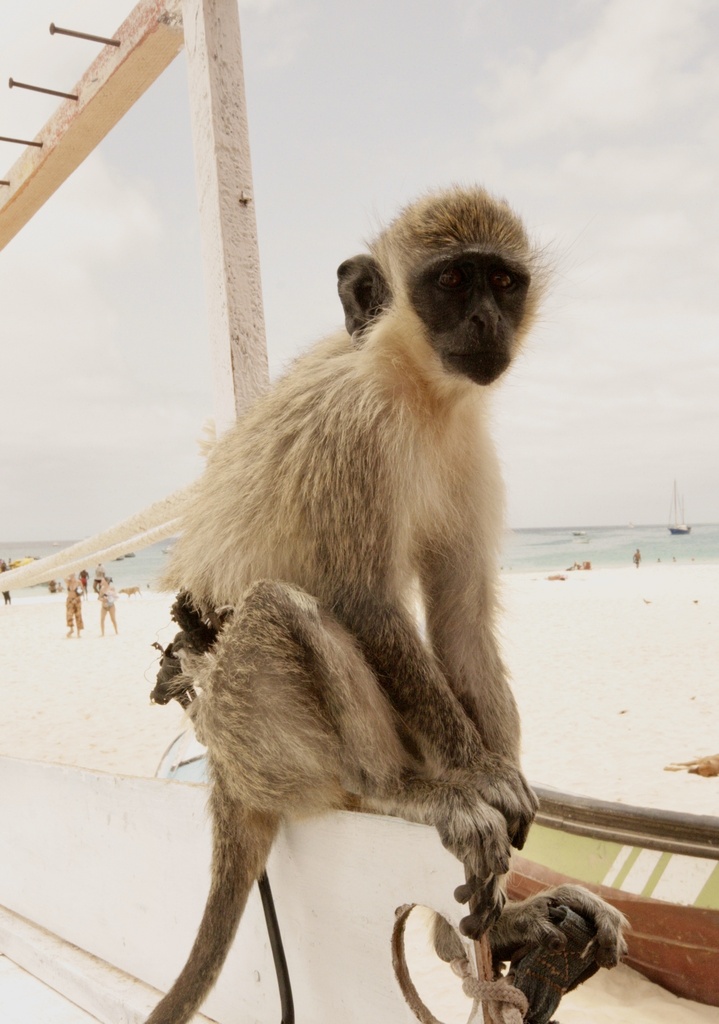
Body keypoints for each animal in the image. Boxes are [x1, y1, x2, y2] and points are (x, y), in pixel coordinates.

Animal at [146, 186, 626, 1024]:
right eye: (452, 281)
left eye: (503, 283)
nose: (486, 322)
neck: (418, 392)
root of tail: (227, 778)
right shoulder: (353, 431)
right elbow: (364, 605)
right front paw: (480, 780)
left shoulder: (467, 447)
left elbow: (459, 621)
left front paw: (495, 787)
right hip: (262, 742)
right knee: (281, 607)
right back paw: (404, 792)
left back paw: (498, 919)